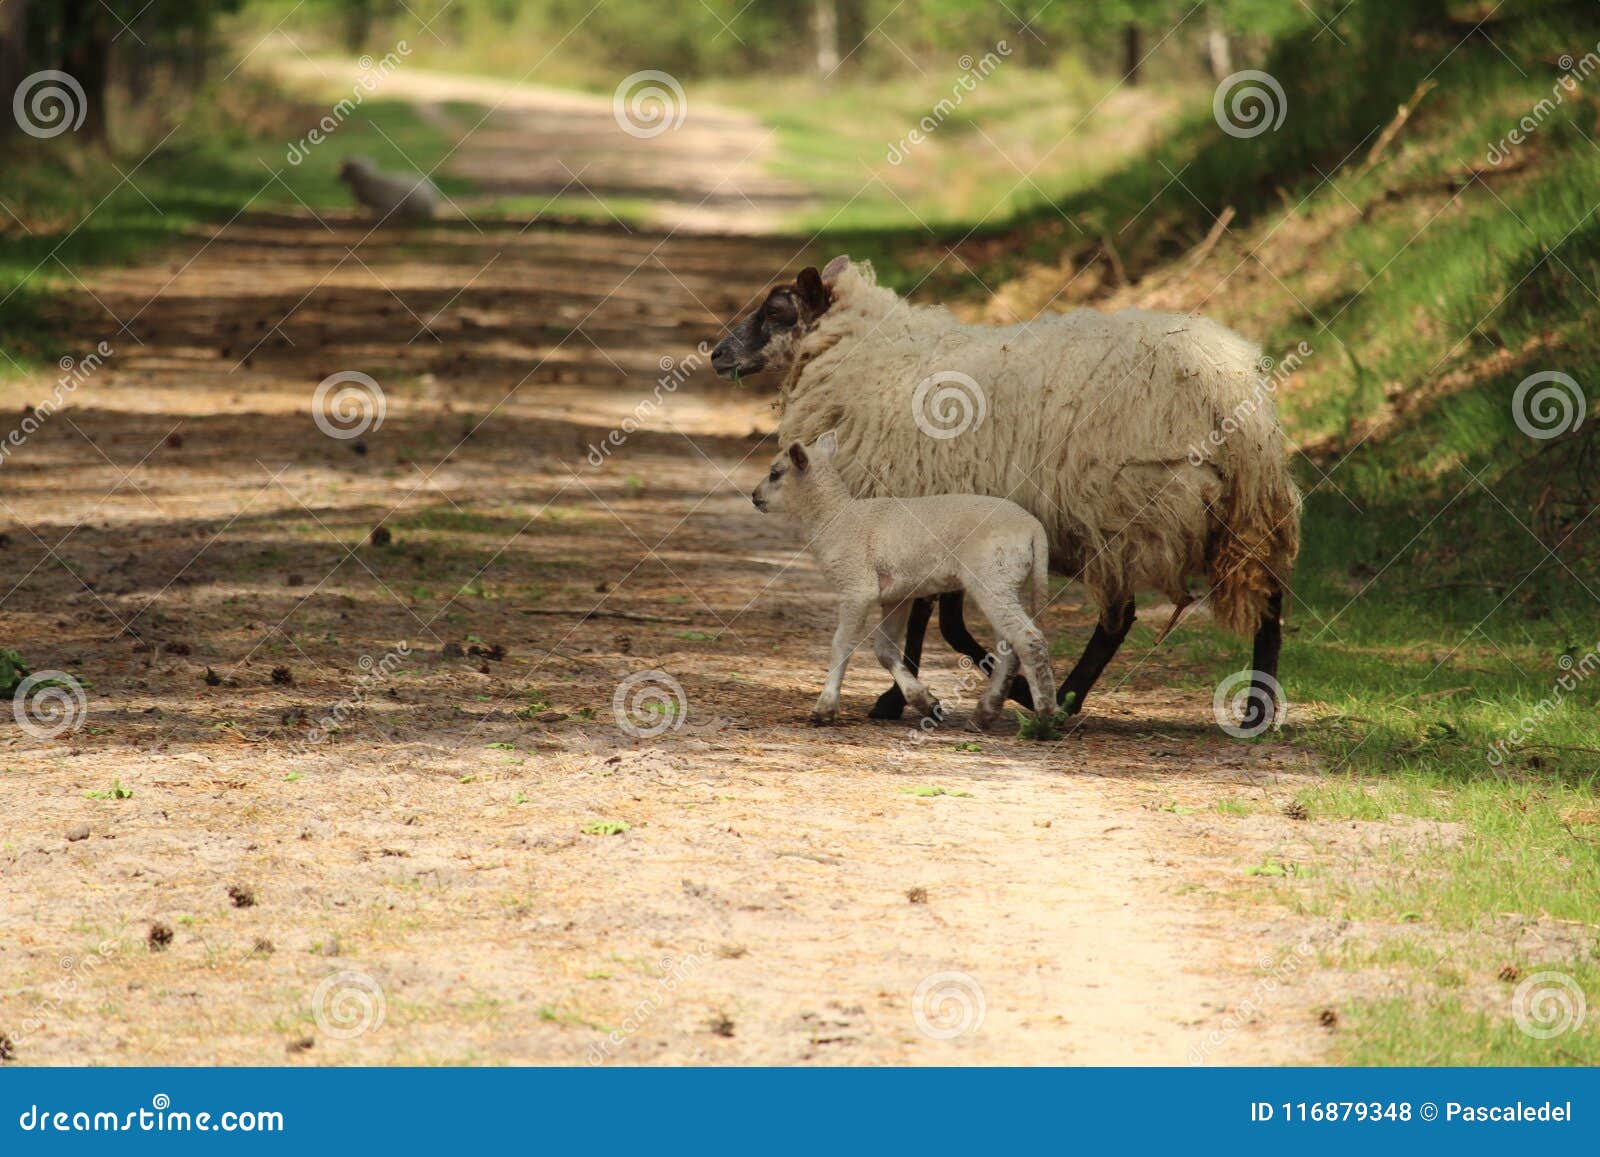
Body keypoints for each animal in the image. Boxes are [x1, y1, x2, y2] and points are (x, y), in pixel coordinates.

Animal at [751, 429, 1056, 728]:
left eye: (775, 473)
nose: (754, 496)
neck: (837, 519)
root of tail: (1034, 528)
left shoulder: (856, 586)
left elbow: (841, 644)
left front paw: (824, 709)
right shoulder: (896, 596)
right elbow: (884, 650)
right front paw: (925, 702)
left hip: (992, 576)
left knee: (1028, 640)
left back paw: (1044, 717)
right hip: (1004, 580)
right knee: (1009, 647)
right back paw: (984, 715)